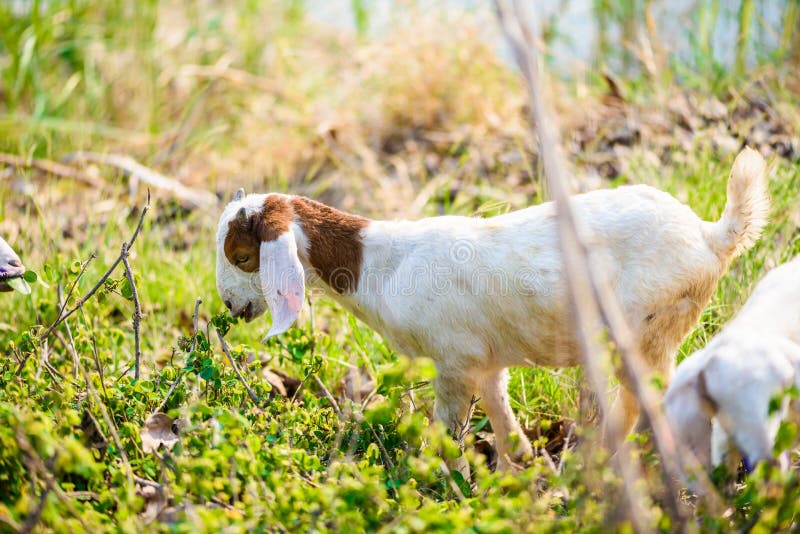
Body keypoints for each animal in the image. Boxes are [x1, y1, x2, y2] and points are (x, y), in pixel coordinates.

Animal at [216, 147, 767, 472]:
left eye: (242, 256)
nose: (230, 306)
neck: (382, 264)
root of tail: (712, 235)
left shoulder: (453, 362)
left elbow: (446, 431)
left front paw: (441, 485)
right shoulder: (483, 360)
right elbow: (501, 416)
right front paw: (514, 472)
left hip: (647, 327)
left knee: (649, 396)